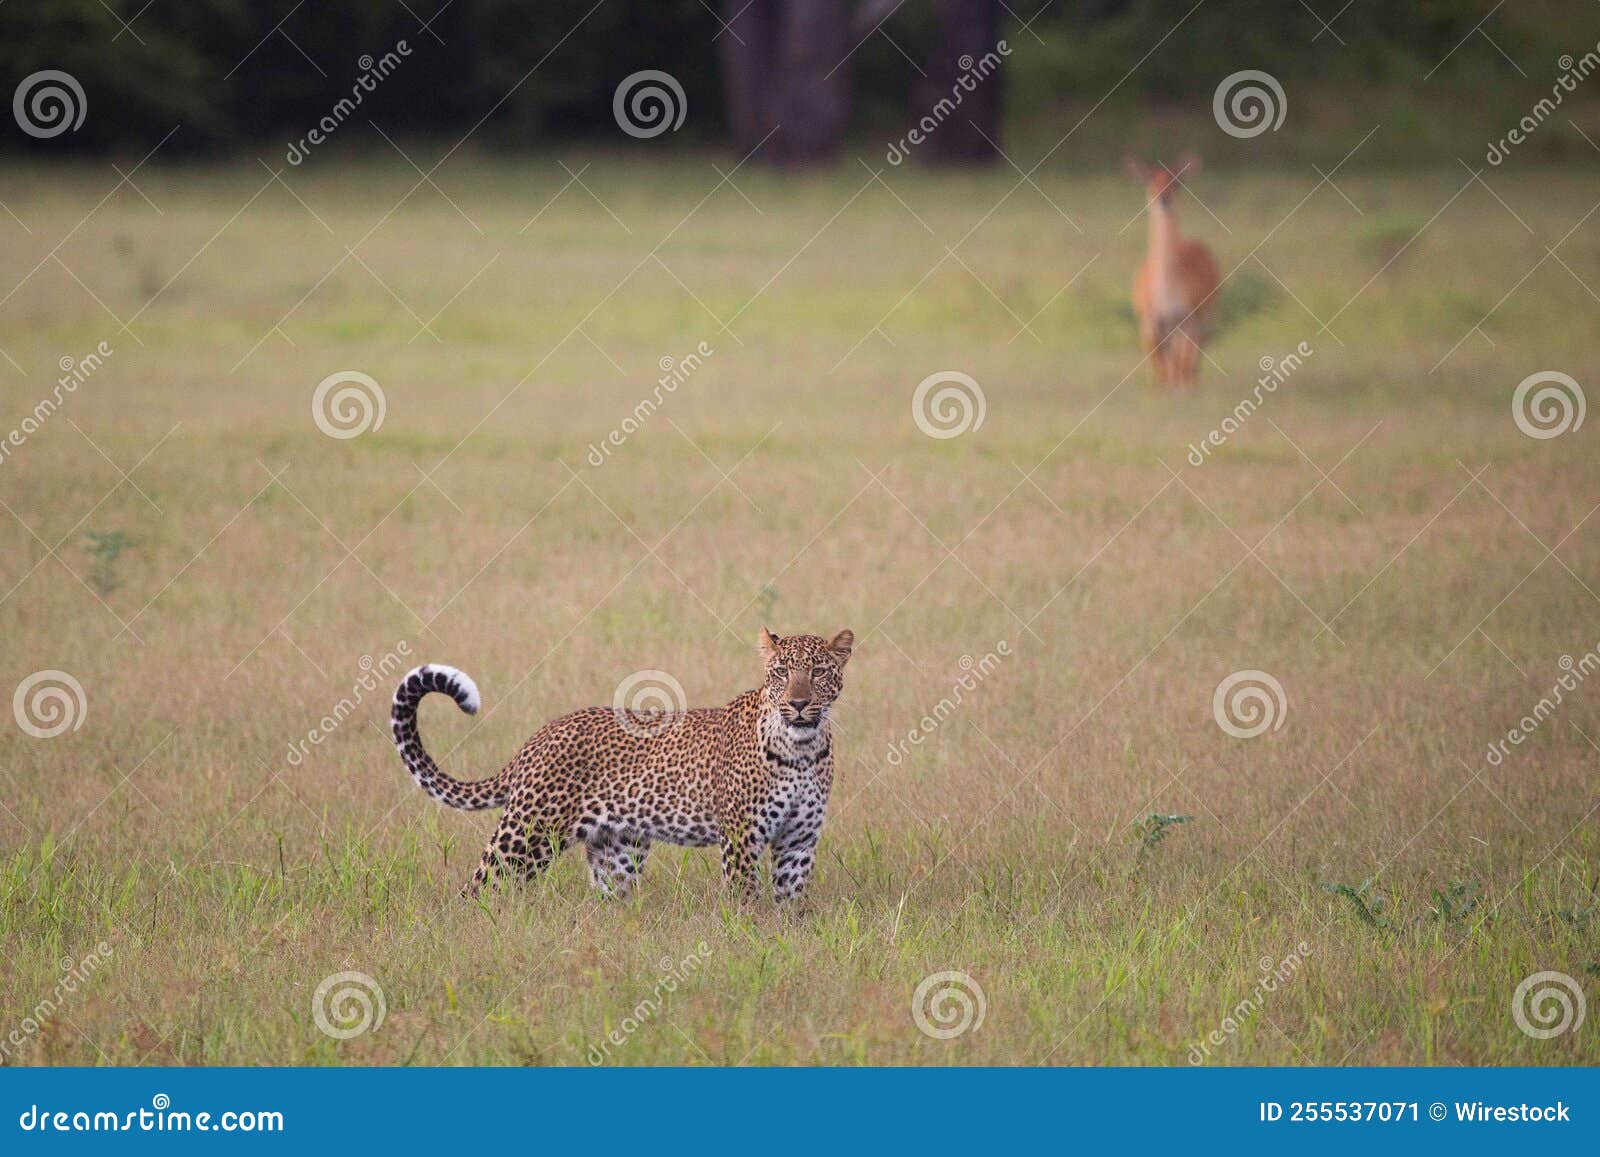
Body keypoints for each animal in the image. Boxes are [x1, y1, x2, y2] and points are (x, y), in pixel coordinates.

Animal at [389, 627, 853, 903]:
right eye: (781, 672)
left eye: (818, 671)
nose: (798, 703)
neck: (802, 749)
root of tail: (537, 737)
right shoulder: (742, 837)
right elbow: (747, 901)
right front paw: (749, 942)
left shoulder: (799, 841)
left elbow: (790, 904)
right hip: (527, 833)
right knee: (480, 888)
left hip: (617, 849)